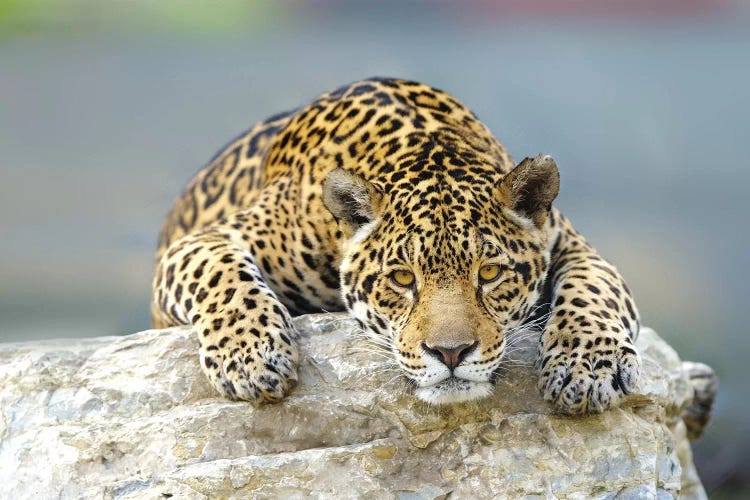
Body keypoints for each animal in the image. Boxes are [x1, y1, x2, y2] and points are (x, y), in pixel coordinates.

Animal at [152, 77, 641, 414]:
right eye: (403, 278)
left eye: (489, 273)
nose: (450, 353)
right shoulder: (209, 239)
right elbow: (222, 274)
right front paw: (252, 359)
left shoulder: (572, 243)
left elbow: (596, 287)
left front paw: (588, 368)